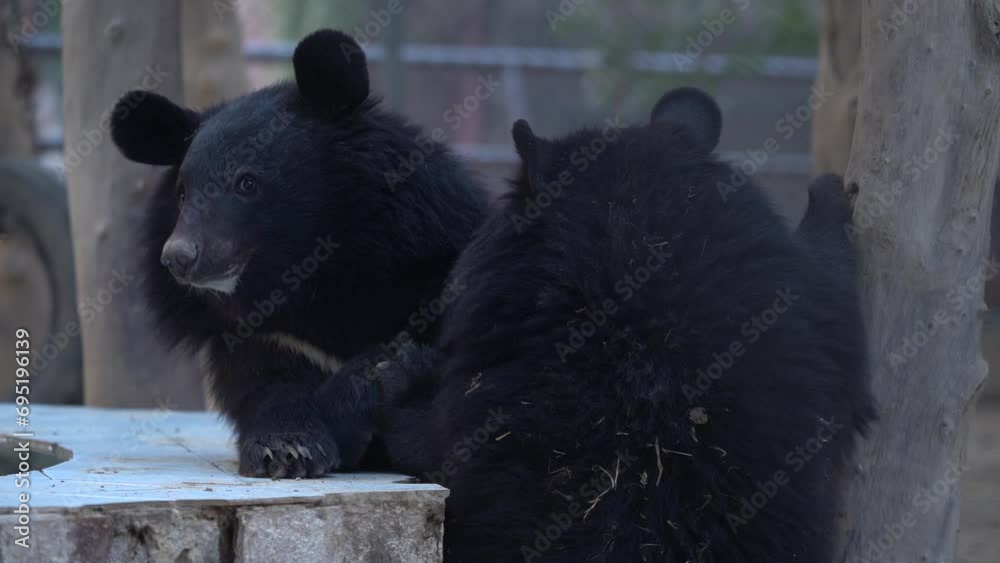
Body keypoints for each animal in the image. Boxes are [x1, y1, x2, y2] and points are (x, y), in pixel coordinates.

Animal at [109, 29, 489, 479]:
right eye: (183, 192)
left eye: (247, 183)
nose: (179, 257)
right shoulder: (262, 336)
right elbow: (265, 389)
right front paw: (289, 449)